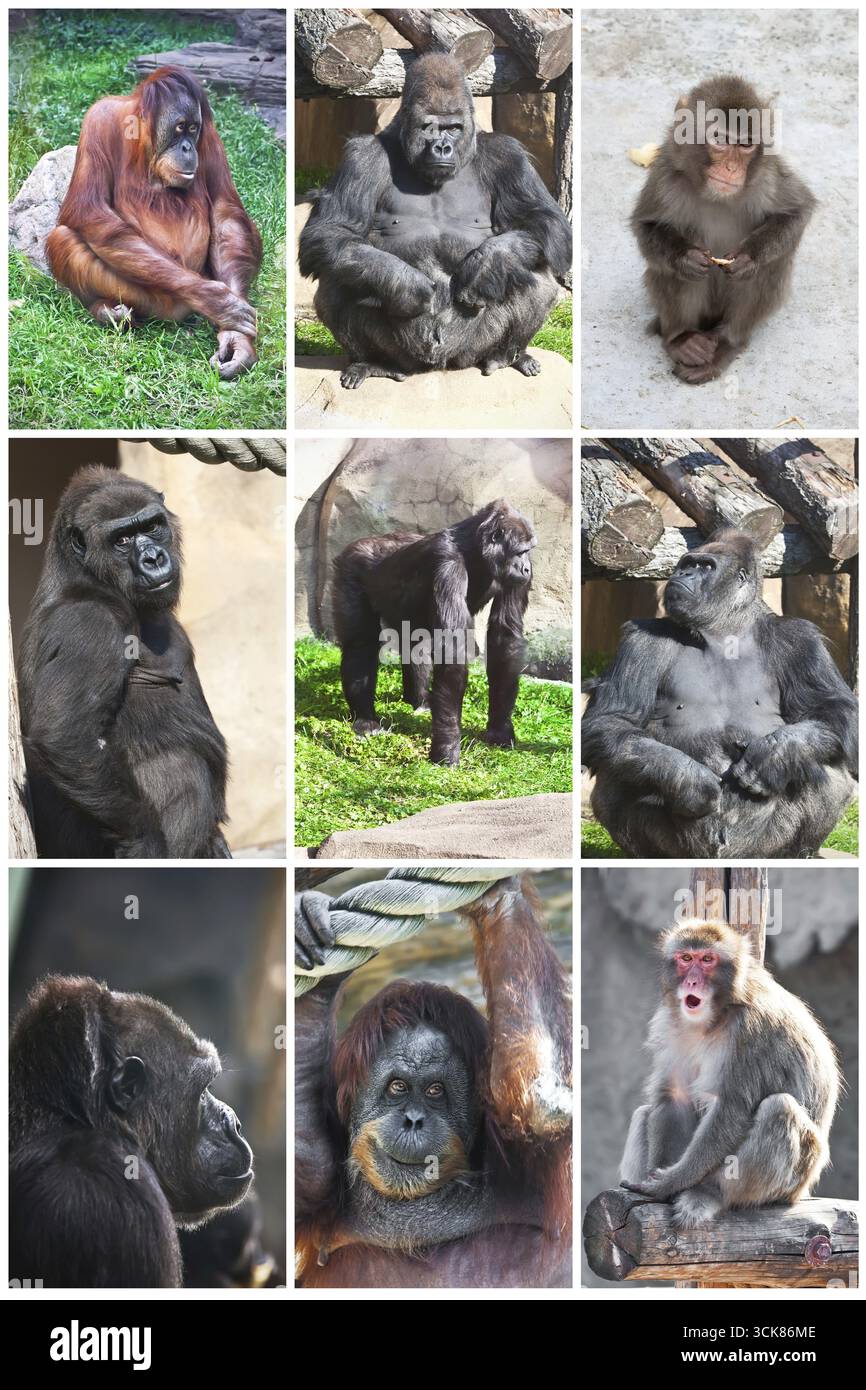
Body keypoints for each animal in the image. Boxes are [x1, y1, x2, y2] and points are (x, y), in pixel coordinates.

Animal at [619, 921, 839, 1229]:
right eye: (686, 958)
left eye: (707, 960)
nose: (692, 982)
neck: (717, 1015)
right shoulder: (670, 1025)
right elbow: (674, 1099)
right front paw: (658, 1182)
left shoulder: (751, 1030)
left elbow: (731, 1109)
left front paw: (668, 1183)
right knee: (644, 1113)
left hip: (793, 1183)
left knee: (778, 1108)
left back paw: (709, 1193)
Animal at [632, 75, 815, 384]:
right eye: (719, 139)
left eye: (746, 145)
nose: (731, 168)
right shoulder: (666, 175)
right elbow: (646, 226)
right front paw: (685, 258)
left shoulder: (767, 176)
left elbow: (797, 211)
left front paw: (748, 259)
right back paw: (682, 340)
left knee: (773, 265)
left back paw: (727, 342)